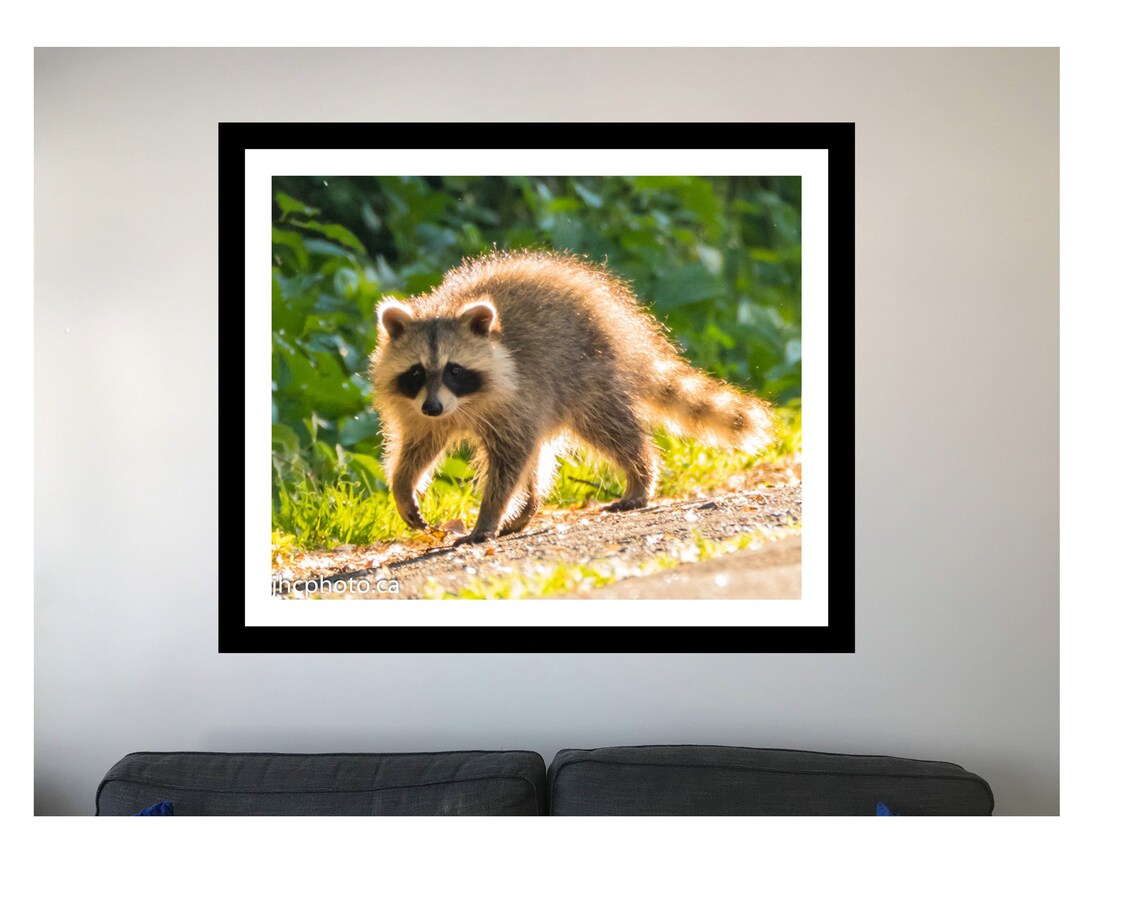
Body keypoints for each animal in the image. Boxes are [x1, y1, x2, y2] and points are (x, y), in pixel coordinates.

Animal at [370, 250, 775, 544]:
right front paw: (403, 485)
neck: (462, 404)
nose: (433, 407)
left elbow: (509, 461)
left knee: (610, 429)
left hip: (586, 375)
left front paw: (489, 514)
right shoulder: (421, 410)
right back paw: (530, 505)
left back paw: (640, 474)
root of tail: (622, 322)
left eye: (454, 369)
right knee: (541, 453)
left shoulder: (516, 394)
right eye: (416, 372)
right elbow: (418, 446)